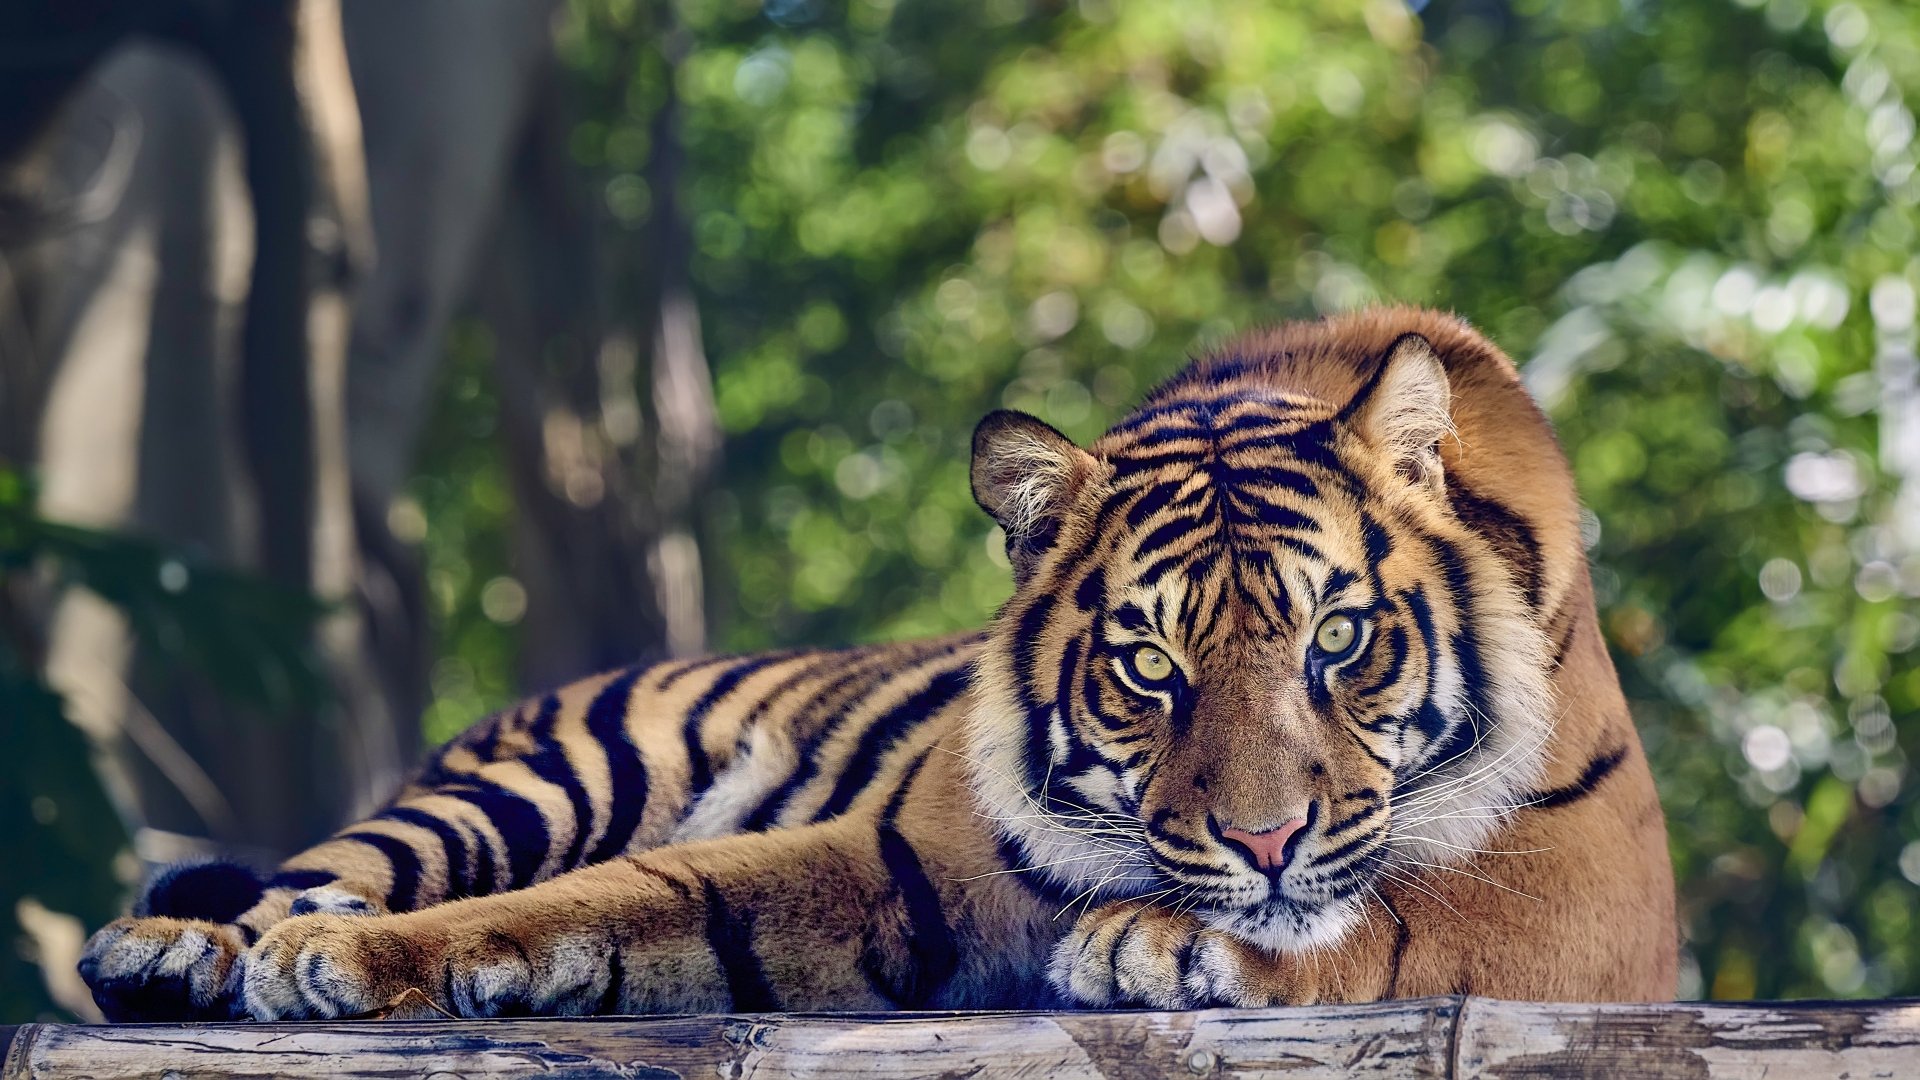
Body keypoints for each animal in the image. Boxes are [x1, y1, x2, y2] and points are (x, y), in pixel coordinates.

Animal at [79, 307, 1676, 1022]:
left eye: (1337, 638)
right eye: (1147, 665)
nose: (1265, 840)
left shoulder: (1580, 890)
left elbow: (1397, 914)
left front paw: (1159, 941)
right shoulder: (909, 856)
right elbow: (640, 892)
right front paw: (347, 960)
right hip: (537, 776)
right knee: (320, 868)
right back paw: (180, 950)